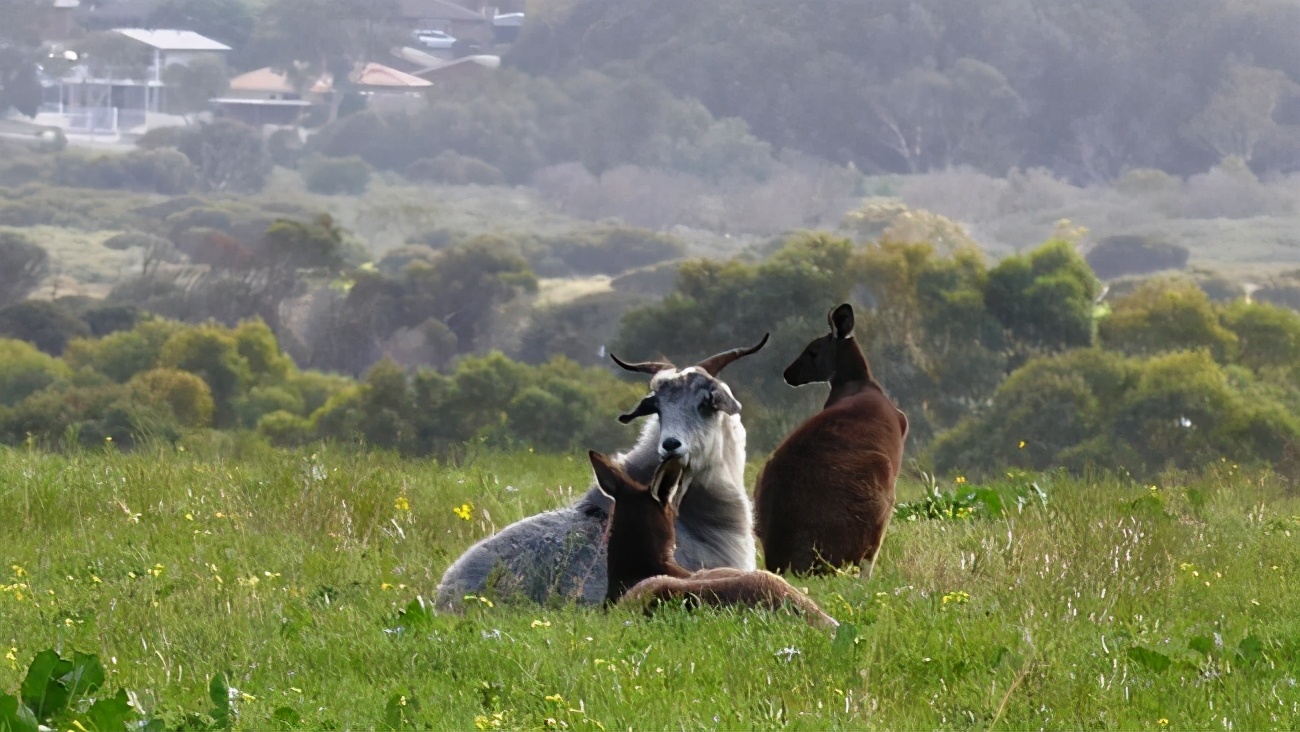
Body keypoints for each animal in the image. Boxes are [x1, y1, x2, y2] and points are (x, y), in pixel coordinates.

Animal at [753, 303, 909, 578]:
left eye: (812, 352)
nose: (787, 374)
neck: (859, 382)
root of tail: (782, 561)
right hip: (877, 485)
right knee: (866, 556)